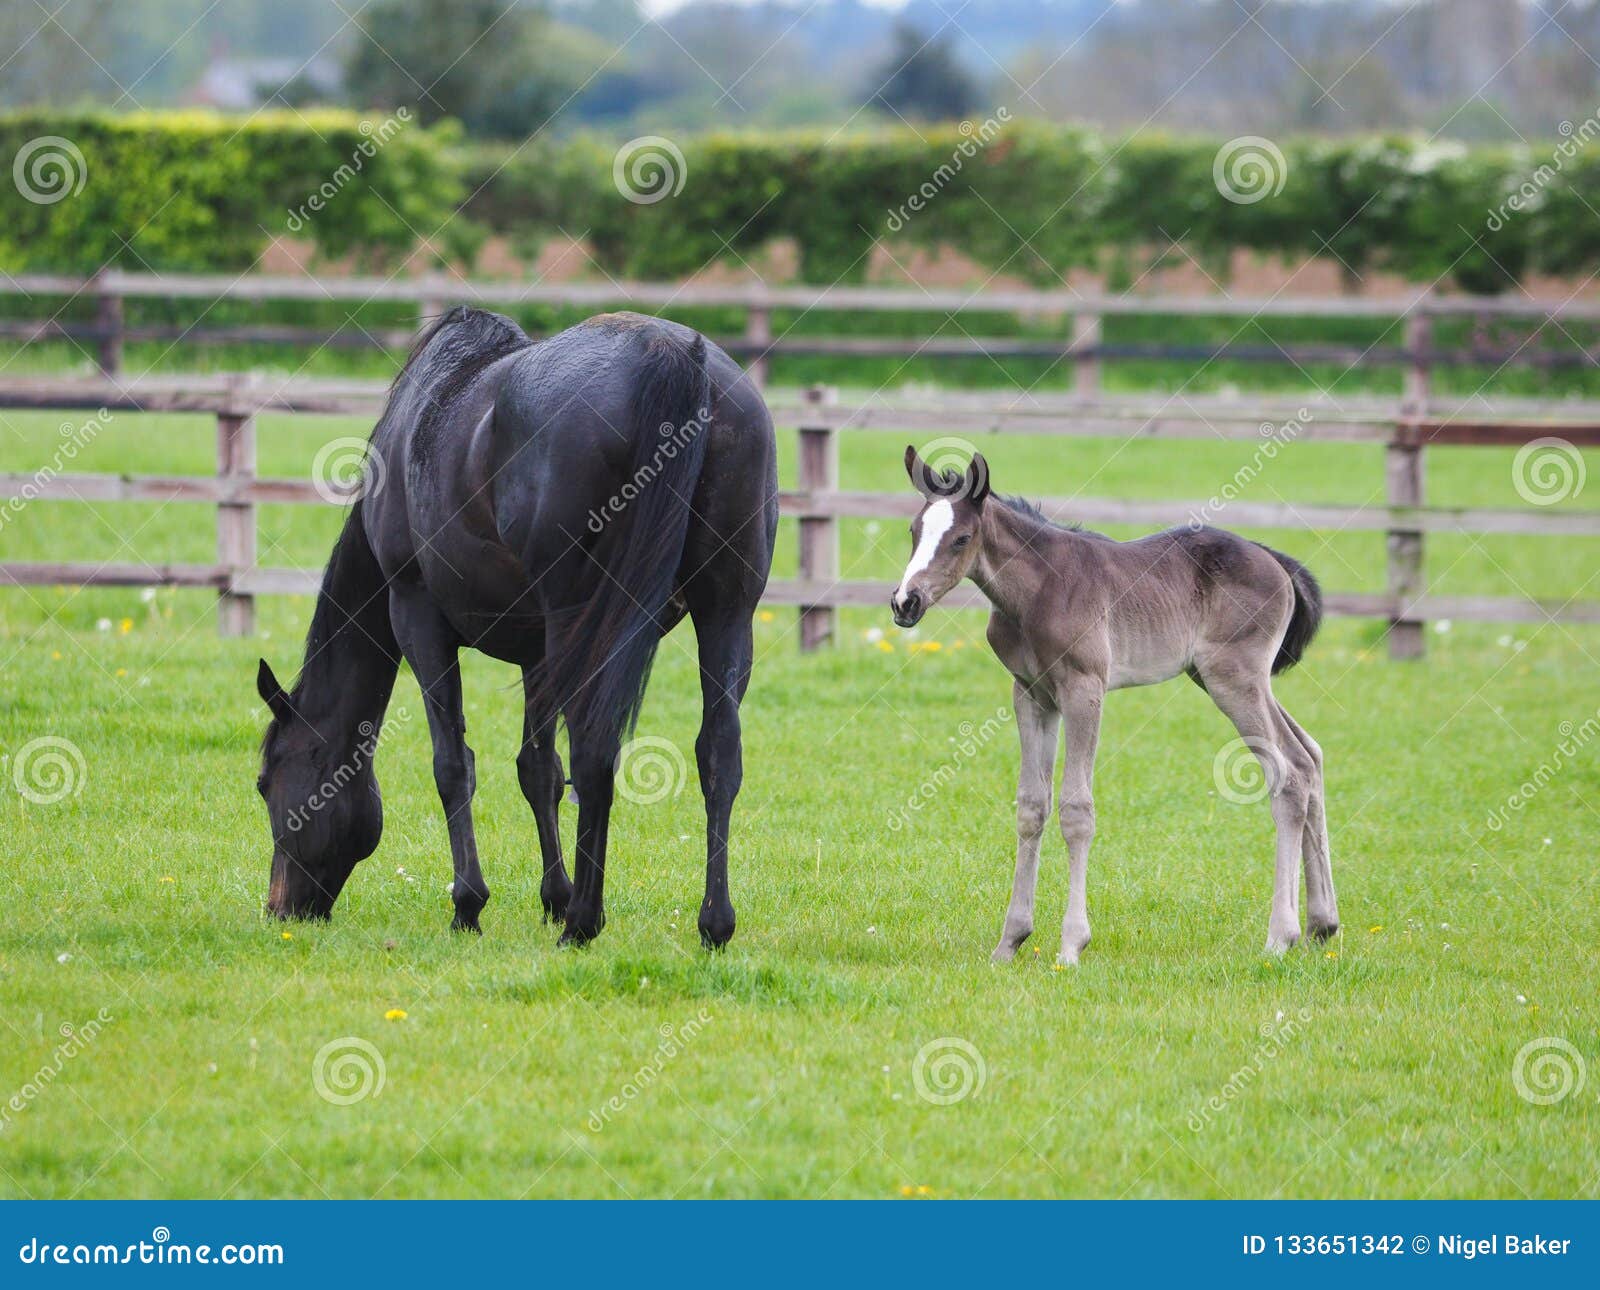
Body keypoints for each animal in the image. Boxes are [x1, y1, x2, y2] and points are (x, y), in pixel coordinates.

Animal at [254, 307, 778, 947]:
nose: (280, 908)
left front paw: (470, 905)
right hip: (726, 614)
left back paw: (583, 923)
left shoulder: (417, 616)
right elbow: (538, 770)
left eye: (266, 781)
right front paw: (552, 896)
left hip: (581, 619)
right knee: (717, 755)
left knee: (595, 753)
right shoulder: (539, 653)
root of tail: (670, 353)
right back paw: (712, 923)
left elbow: (453, 766)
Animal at [889, 446, 1339, 964]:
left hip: (1235, 680)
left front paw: (1071, 944)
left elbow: (1076, 811)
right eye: (914, 531)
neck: (1039, 591)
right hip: (1222, 679)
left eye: (961, 538)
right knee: (1310, 756)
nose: (905, 602)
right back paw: (1322, 924)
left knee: (1289, 774)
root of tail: (1275, 560)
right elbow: (1032, 807)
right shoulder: (1031, 694)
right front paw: (1010, 941)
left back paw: (1280, 936)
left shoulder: (1084, 689)